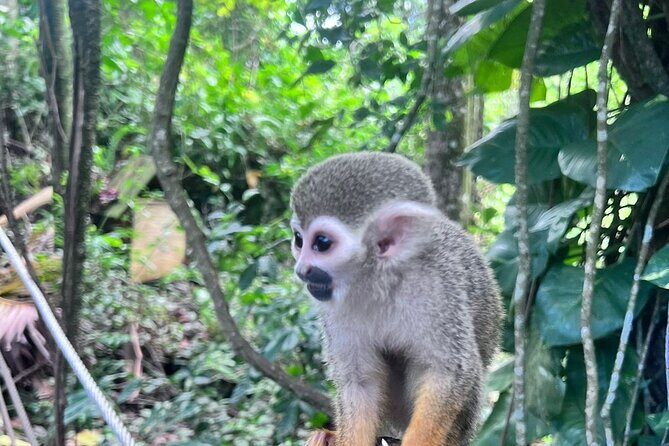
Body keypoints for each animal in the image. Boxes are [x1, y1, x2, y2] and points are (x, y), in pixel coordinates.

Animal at [289, 152, 502, 446]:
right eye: (298, 240)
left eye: (321, 243)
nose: (301, 270)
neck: (379, 281)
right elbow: (360, 382)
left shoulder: (438, 290)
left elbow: (447, 372)